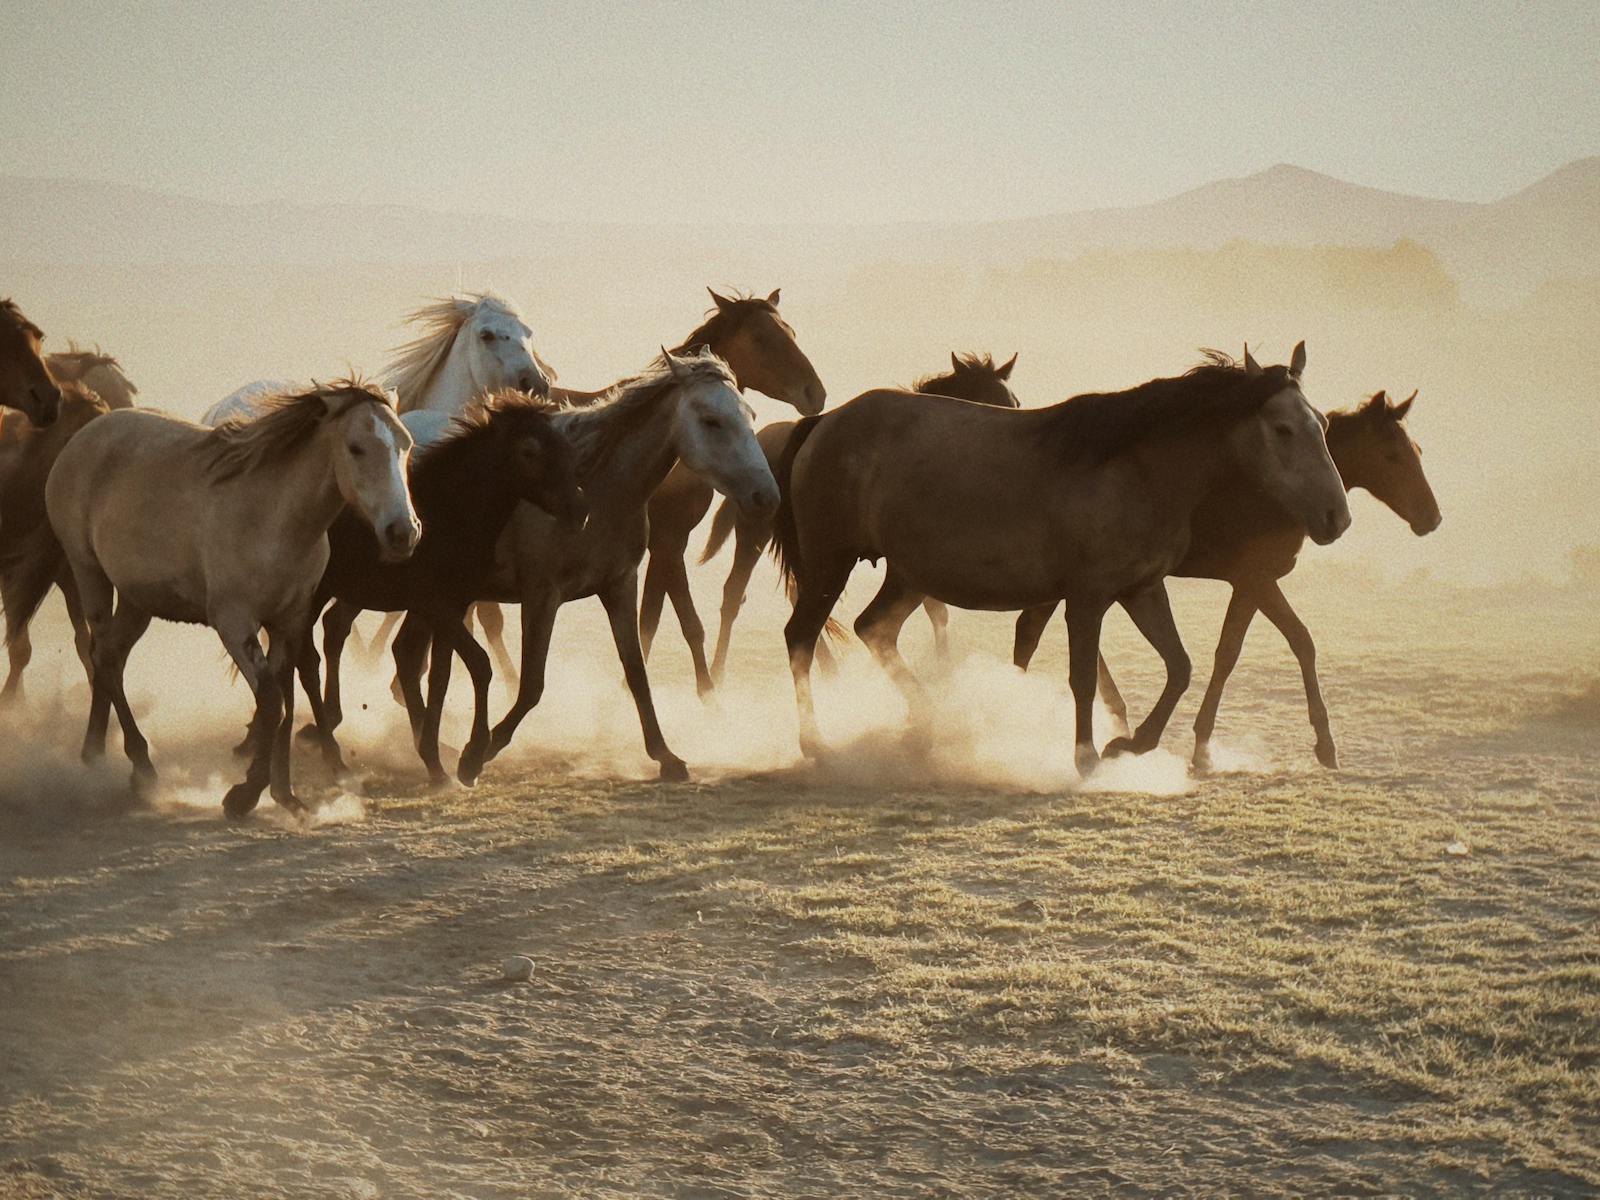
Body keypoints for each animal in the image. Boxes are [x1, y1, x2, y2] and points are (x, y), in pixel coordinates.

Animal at [293, 393, 587, 787]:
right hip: (312, 593)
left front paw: (435, 762)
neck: (452, 514)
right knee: (306, 657)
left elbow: (440, 676)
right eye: (528, 451)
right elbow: (478, 664)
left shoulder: (454, 604)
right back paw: (325, 752)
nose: (579, 509)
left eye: (565, 447)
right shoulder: (436, 604)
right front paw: (470, 757)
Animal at [399, 348, 778, 782]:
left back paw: (431, 752)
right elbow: (532, 685)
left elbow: (637, 672)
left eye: (749, 415)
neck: (594, 489)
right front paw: (479, 753)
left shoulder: (619, 586)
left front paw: (665, 755)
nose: (766, 496)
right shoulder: (541, 596)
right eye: (711, 420)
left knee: (406, 657)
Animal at [697, 351, 1019, 687]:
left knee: (797, 595)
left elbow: (935, 609)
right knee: (735, 594)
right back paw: (719, 673)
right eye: (985, 399)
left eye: (1014, 402)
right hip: (756, 533)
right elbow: (934, 609)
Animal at [772, 343, 1350, 777]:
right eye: (1282, 429)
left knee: (875, 629)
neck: (1136, 469)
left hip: (907, 574)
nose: (1336, 517)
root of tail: (826, 423)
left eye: (1322, 423)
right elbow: (1084, 677)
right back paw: (817, 744)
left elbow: (1180, 667)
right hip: (831, 561)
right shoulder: (1087, 598)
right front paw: (1088, 756)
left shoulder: (1142, 589)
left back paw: (935, 724)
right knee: (802, 637)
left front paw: (1129, 745)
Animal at [1011, 387, 1441, 769]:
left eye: (1418, 452)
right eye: (1392, 455)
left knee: (1033, 629)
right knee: (1033, 632)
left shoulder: (1250, 583)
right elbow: (1287, 643)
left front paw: (1203, 746)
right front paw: (1322, 744)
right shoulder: (1256, 578)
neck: (1279, 498)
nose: (1432, 518)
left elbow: (1239, 650)